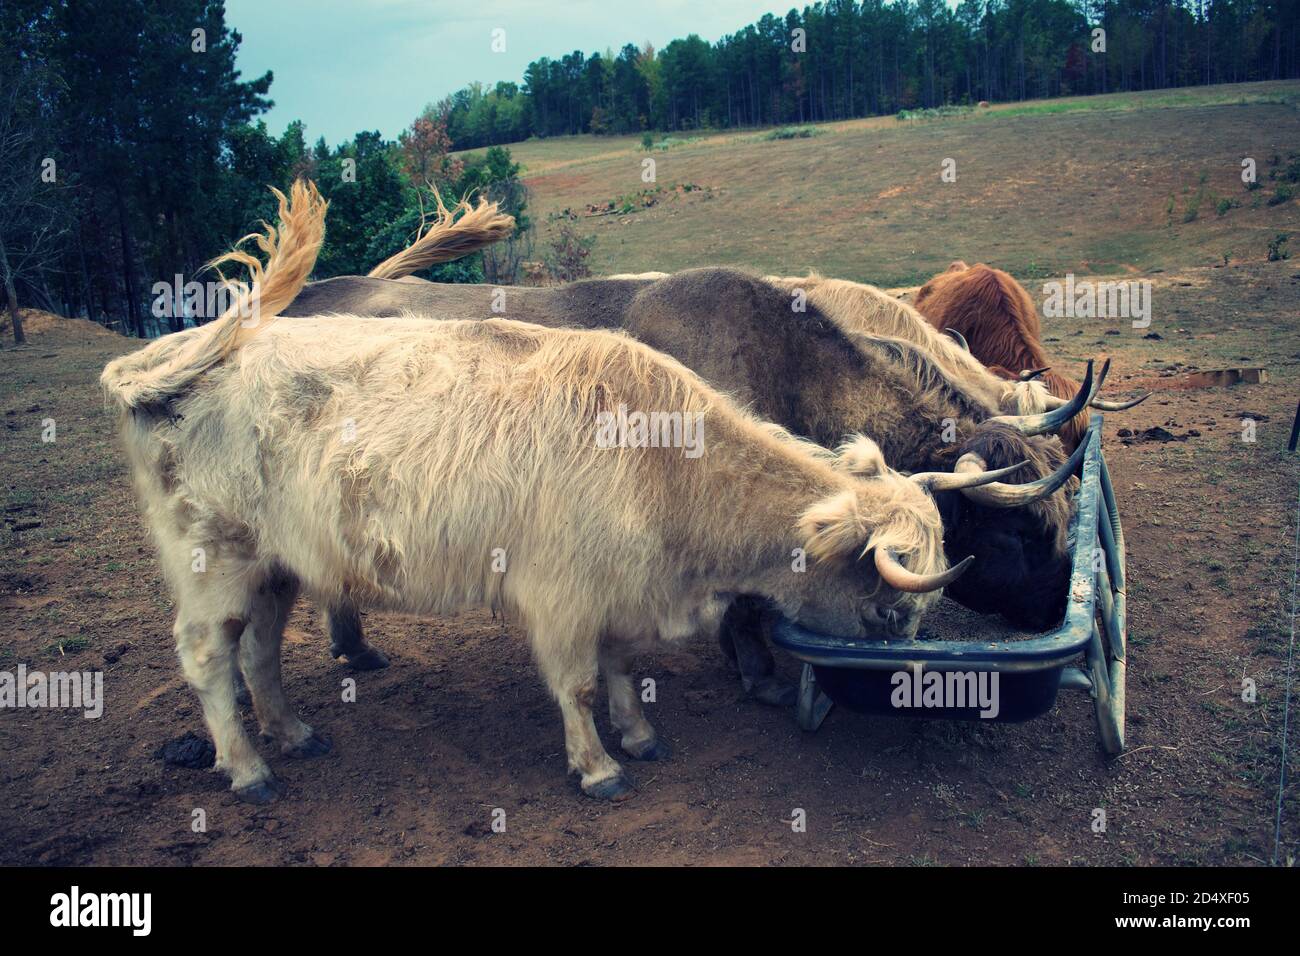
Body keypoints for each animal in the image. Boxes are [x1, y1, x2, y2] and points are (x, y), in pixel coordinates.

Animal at [102, 181, 1015, 802]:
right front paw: (600, 766)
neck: (660, 454)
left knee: (260, 650)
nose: (905, 682)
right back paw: (248, 765)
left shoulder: (618, 590)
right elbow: (577, 685)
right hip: (212, 566)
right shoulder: (562, 596)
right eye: (891, 610)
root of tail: (176, 357)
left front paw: (640, 736)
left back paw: (293, 732)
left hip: (275, 566)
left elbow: (621, 669)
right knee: (208, 657)